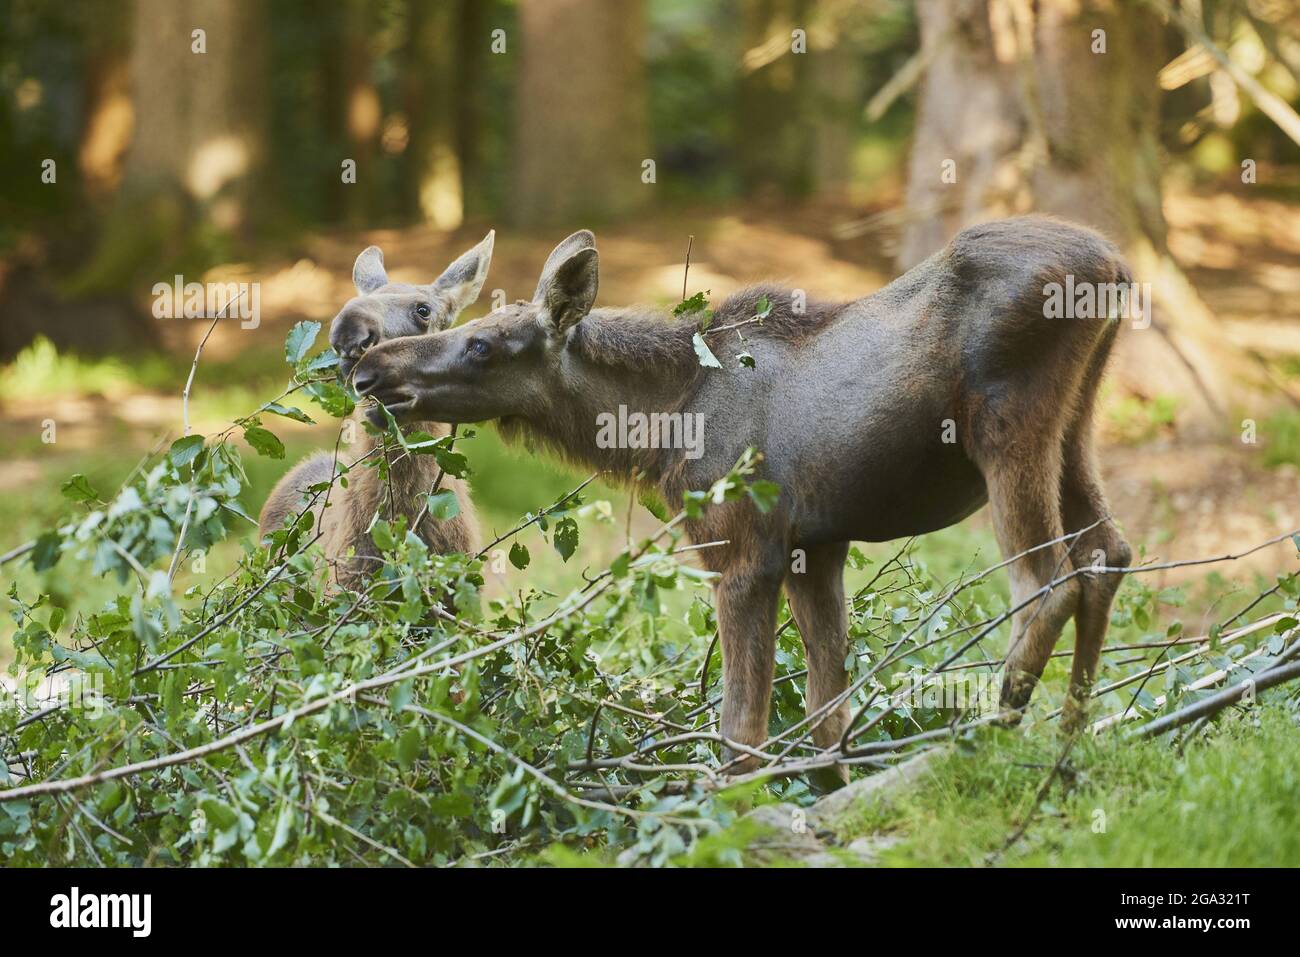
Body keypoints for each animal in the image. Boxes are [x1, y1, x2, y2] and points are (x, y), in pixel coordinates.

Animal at [350, 218, 1134, 787]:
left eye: (482, 344)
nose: (368, 370)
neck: (661, 427)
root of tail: (1119, 270)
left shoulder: (741, 553)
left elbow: (740, 740)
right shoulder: (816, 546)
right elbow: (825, 718)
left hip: (1008, 426)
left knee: (1047, 579)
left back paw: (989, 738)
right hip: (1076, 427)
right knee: (1109, 552)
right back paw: (1070, 744)